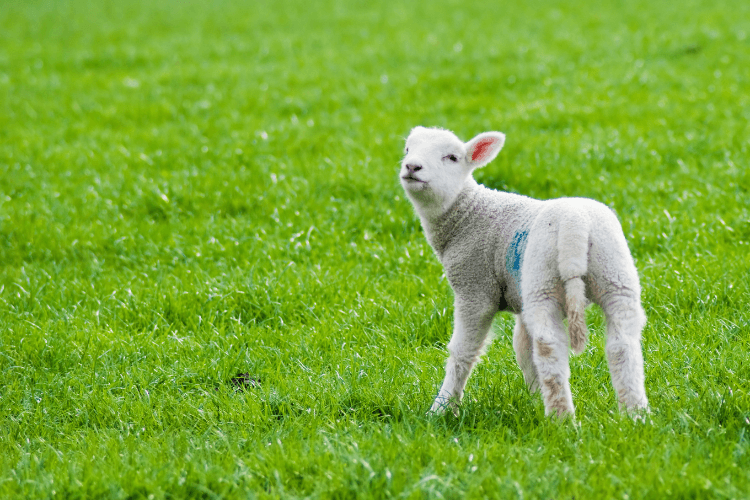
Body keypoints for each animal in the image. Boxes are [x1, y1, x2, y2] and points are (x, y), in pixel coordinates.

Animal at [399, 126, 648, 418]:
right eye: (407, 149)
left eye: (452, 157)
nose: (412, 166)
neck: (467, 214)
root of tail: (576, 224)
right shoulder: (521, 297)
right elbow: (523, 349)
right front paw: (534, 398)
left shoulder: (475, 286)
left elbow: (463, 351)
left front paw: (442, 408)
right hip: (615, 274)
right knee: (623, 343)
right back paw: (635, 415)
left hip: (544, 281)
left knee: (550, 346)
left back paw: (561, 419)